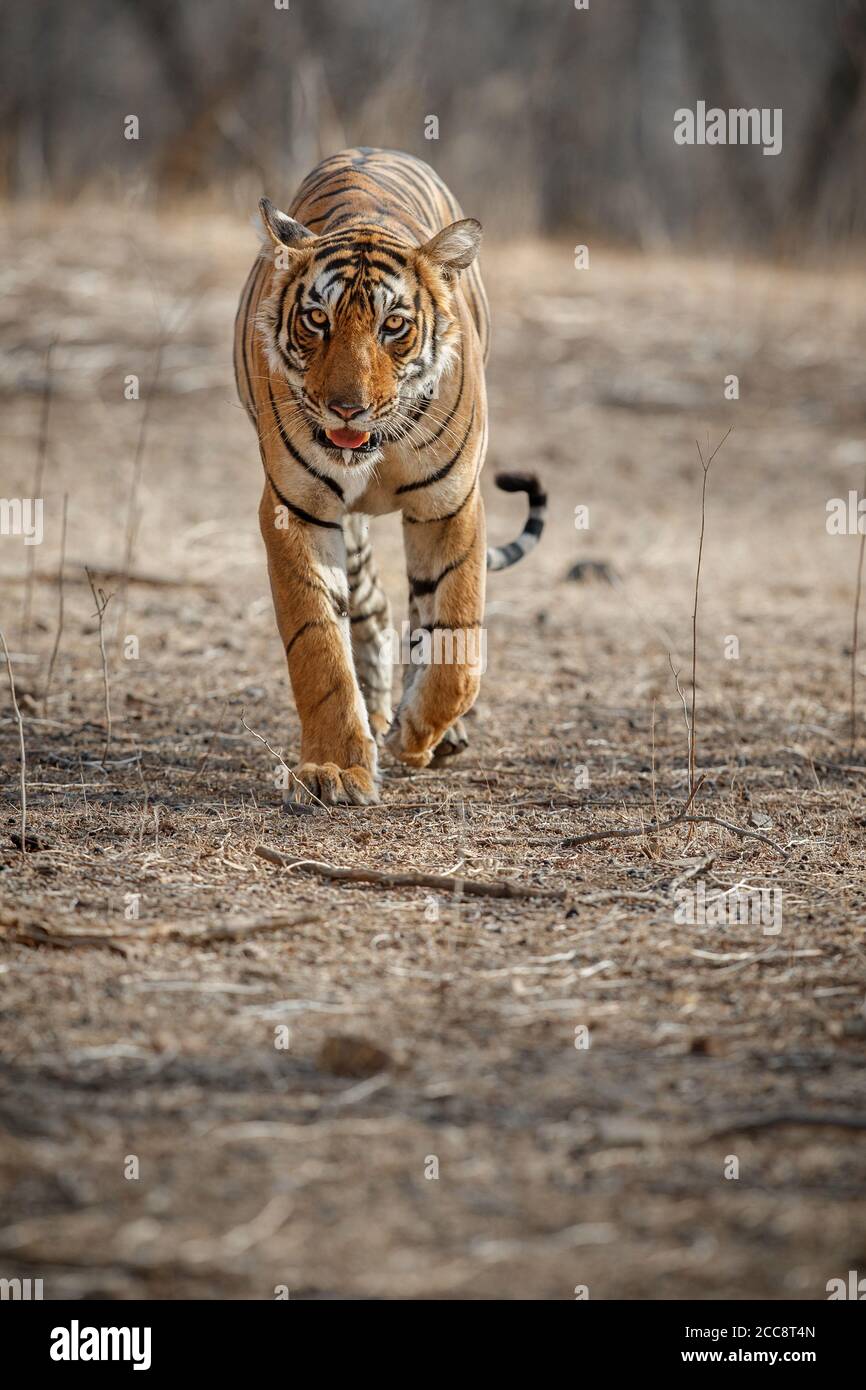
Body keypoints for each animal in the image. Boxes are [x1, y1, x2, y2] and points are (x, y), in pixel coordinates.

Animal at [233, 147, 546, 808]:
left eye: (393, 326)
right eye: (317, 319)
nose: (347, 409)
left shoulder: (451, 505)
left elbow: (458, 646)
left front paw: (418, 735)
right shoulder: (296, 510)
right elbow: (319, 649)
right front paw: (335, 768)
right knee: (370, 607)